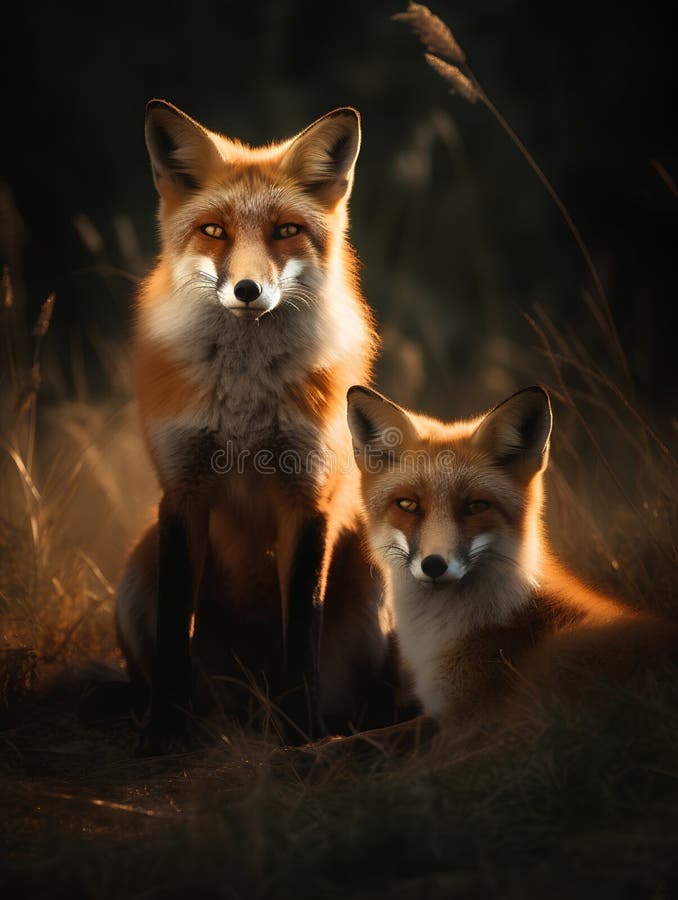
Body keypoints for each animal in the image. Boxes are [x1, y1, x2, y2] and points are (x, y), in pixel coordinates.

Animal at [114, 100, 397, 753]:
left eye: (285, 231)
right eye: (214, 231)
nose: (248, 290)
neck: (243, 403)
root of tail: (247, 698)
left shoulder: (308, 497)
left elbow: (303, 636)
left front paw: (304, 739)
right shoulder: (183, 492)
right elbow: (174, 635)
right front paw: (163, 737)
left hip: (375, 574)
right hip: (136, 571)